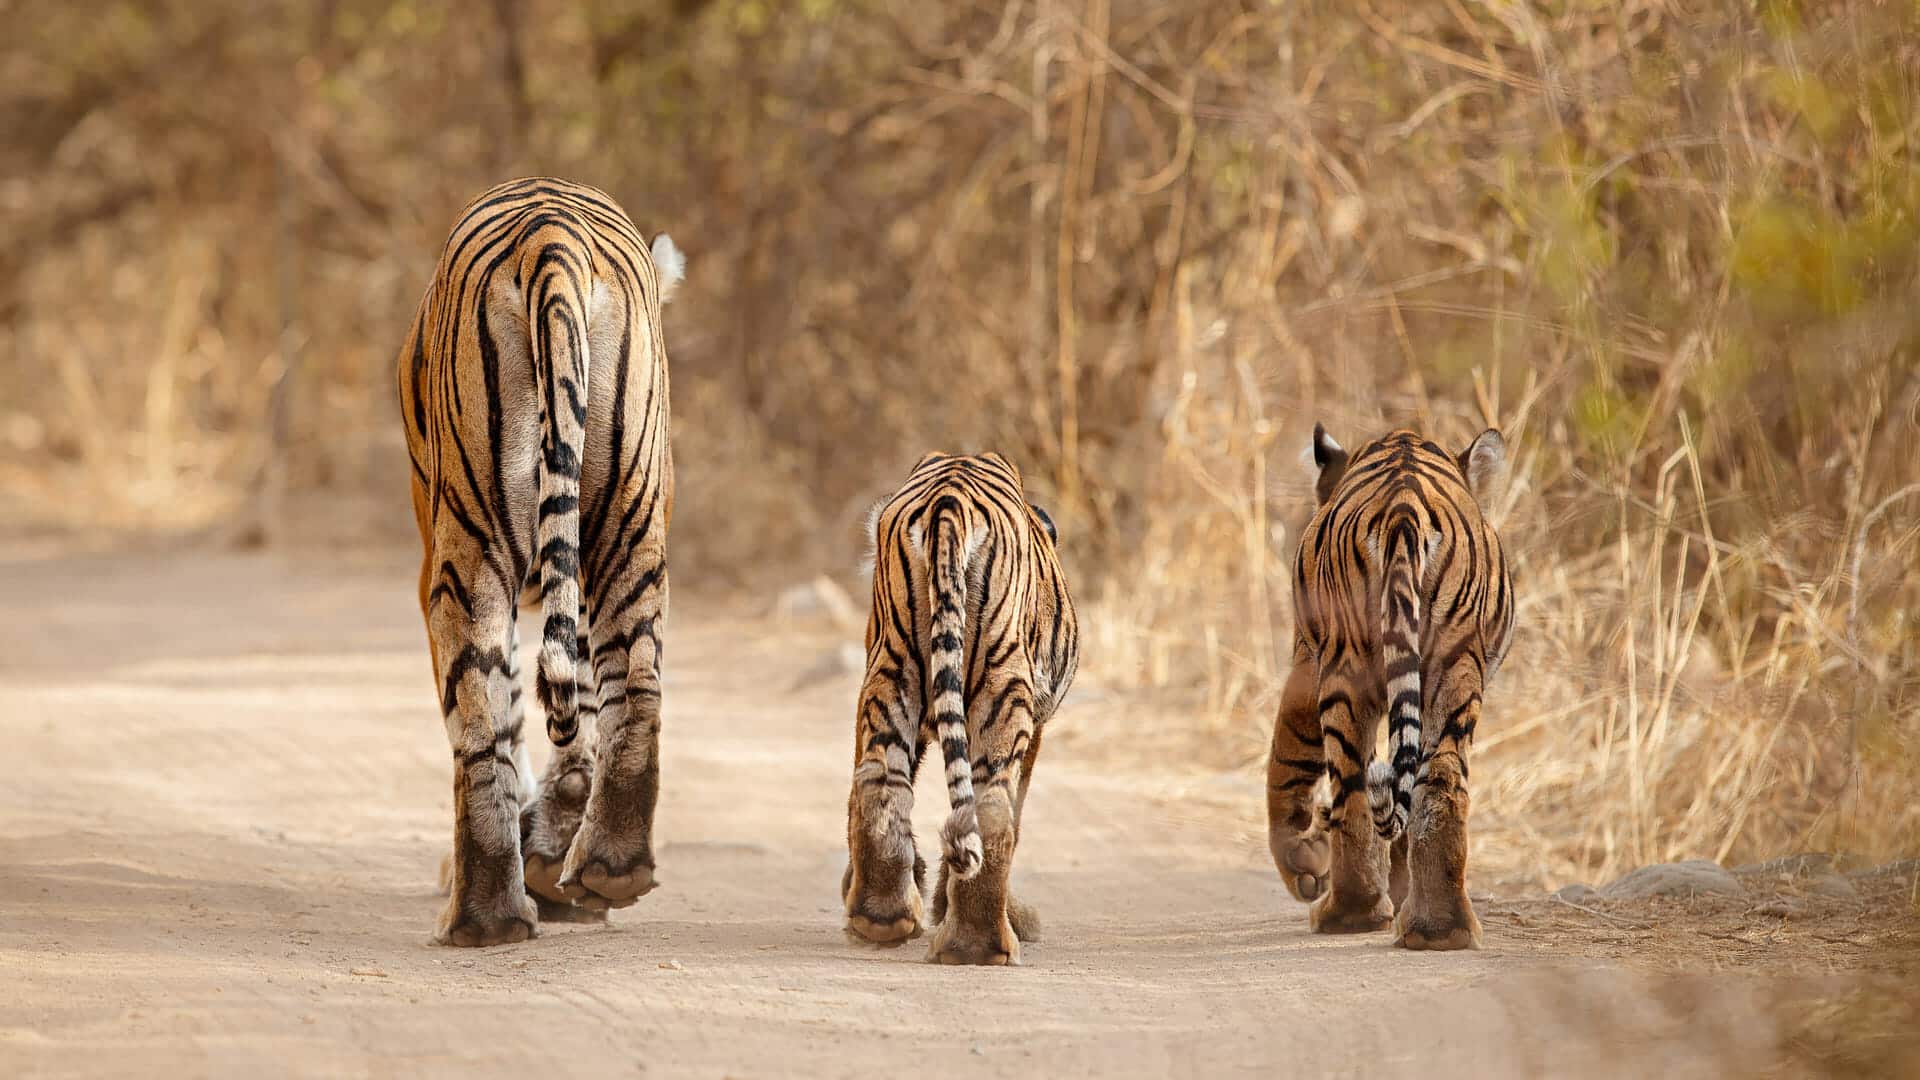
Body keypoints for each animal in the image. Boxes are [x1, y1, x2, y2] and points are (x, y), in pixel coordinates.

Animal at [398, 177, 685, 946]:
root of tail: (550, 234)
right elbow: (579, 700)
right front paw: (557, 855)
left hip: (467, 548)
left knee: (478, 717)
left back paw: (482, 915)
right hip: (630, 519)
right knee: (635, 682)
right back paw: (609, 867)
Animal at [841, 452, 1078, 965]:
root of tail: (951, 494)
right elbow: (1018, 809)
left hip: (894, 670)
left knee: (879, 781)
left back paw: (883, 918)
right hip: (1002, 686)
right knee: (994, 807)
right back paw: (981, 944)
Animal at [1265, 424, 1514, 951]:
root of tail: (1404, 506)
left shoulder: (1306, 661)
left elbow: (1286, 757)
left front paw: (1303, 862)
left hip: (1348, 667)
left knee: (1353, 785)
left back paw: (1348, 912)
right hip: (1453, 668)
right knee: (1438, 781)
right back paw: (1438, 928)